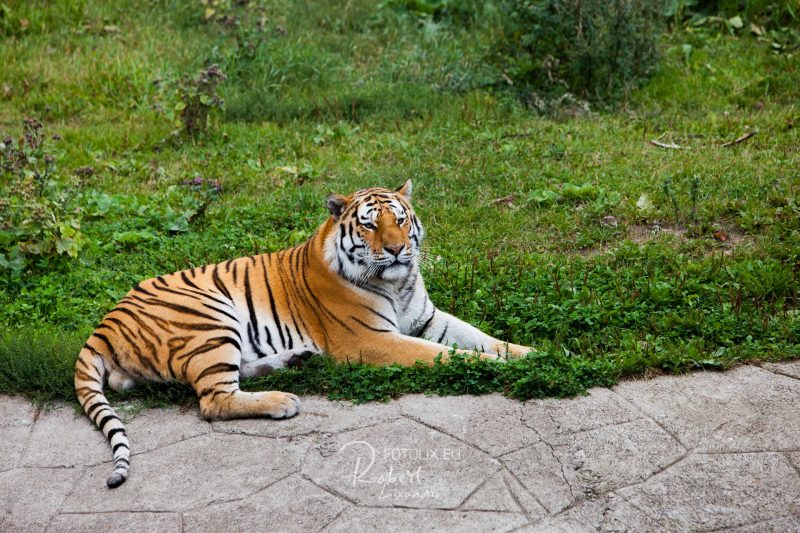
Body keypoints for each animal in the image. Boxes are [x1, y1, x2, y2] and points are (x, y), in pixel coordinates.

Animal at [75, 179, 531, 488]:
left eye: (401, 220)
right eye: (370, 226)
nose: (398, 249)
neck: (398, 283)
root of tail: (103, 324)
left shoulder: (428, 319)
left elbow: (482, 336)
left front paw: (531, 354)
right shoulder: (371, 340)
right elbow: (443, 355)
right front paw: (491, 368)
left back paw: (294, 361)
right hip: (210, 315)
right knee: (213, 400)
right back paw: (282, 401)